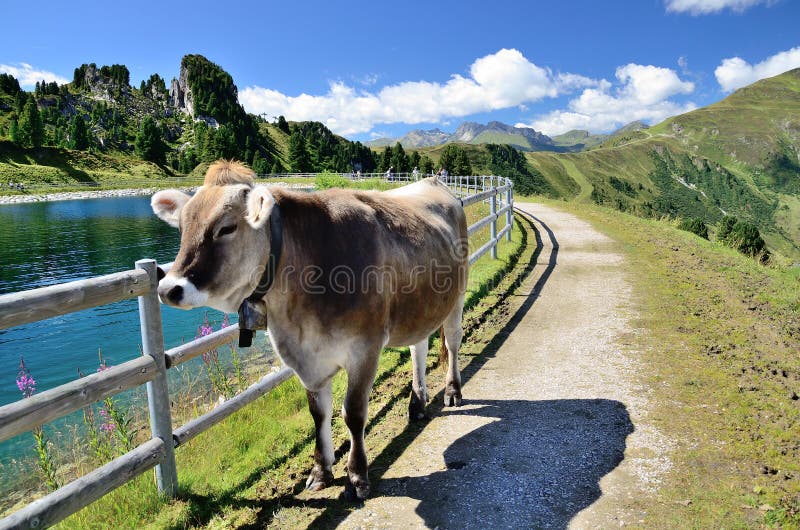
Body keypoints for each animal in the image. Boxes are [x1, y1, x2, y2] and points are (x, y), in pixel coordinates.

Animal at [151, 160, 467, 499]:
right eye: (182, 228)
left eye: (226, 228)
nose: (169, 288)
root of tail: (434, 182)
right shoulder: (305, 357)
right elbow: (319, 413)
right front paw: (320, 470)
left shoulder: (365, 349)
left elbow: (353, 412)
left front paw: (357, 475)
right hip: (419, 309)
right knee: (418, 348)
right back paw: (417, 404)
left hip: (457, 297)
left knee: (453, 344)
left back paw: (452, 392)